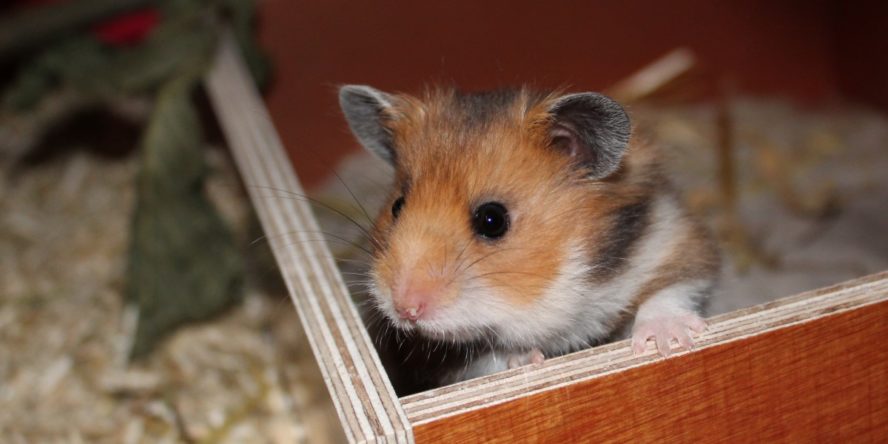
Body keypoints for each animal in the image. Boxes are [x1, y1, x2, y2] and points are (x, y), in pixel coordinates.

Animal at [338, 85, 720, 392]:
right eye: (397, 206)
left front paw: (671, 343)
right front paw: (526, 361)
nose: (405, 309)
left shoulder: (671, 238)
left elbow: (669, 290)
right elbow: (487, 360)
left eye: (492, 219)